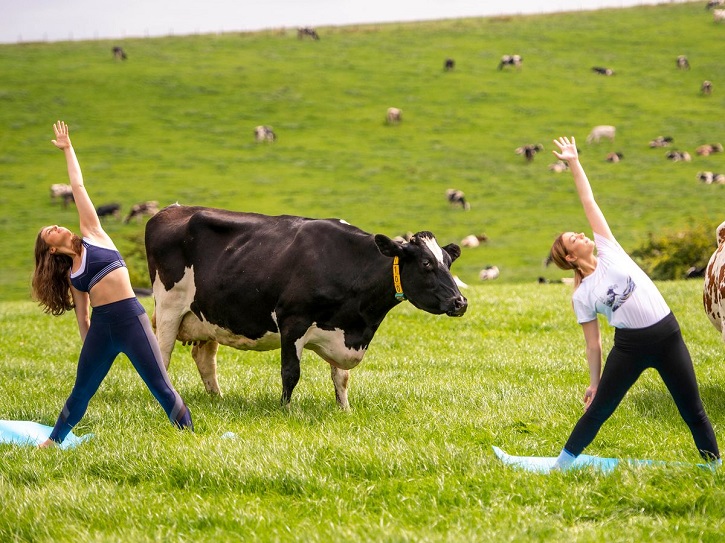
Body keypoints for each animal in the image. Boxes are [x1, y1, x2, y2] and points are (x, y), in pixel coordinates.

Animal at [145, 205, 467, 409]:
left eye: (448, 263)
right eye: (426, 263)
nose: (460, 302)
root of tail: (169, 210)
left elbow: (341, 377)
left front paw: (344, 409)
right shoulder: (292, 320)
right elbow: (291, 372)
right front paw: (285, 409)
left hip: (208, 316)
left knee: (204, 357)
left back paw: (217, 399)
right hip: (169, 306)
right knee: (162, 355)